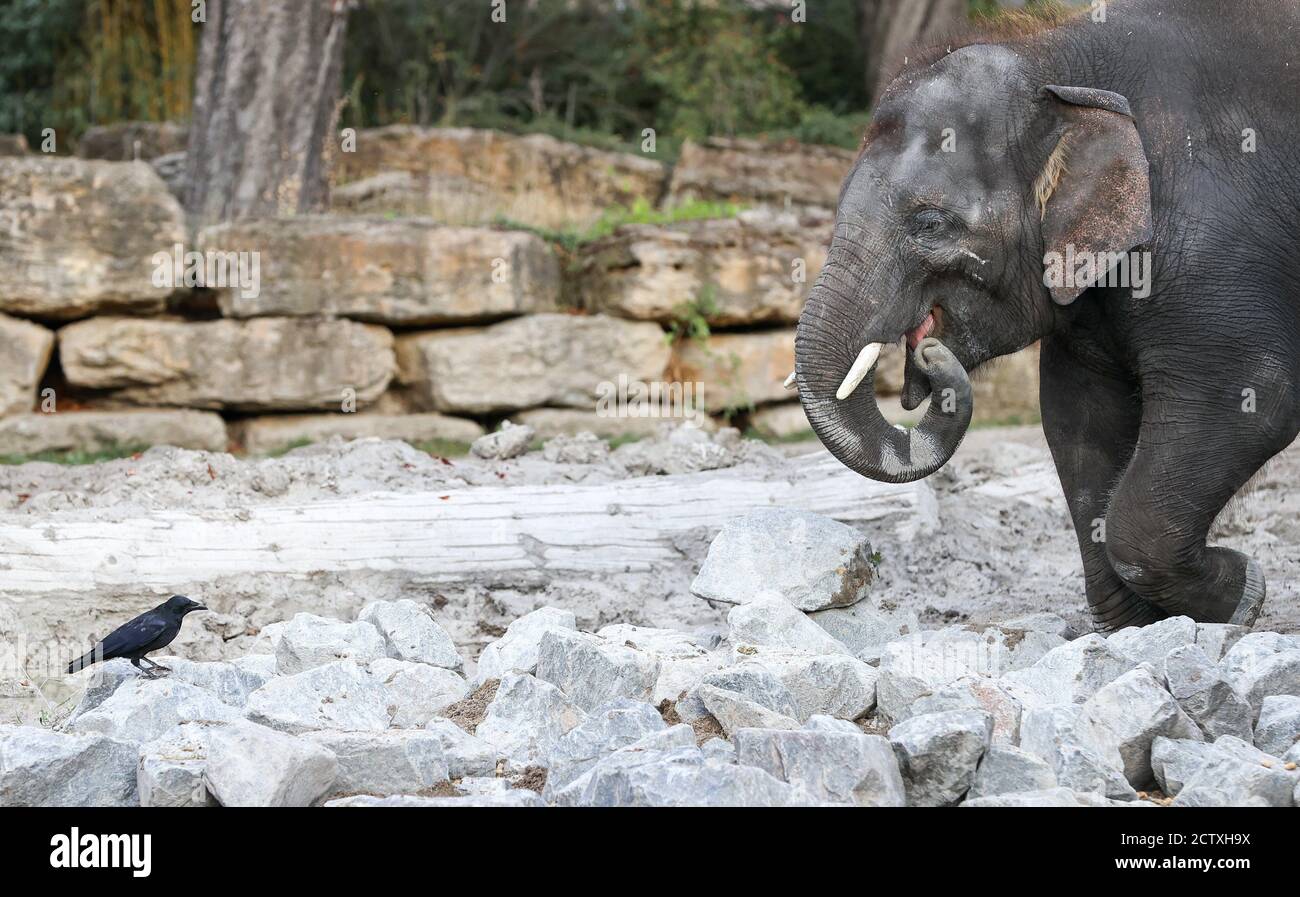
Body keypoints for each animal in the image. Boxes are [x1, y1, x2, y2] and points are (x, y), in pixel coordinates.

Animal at [793, 0, 1300, 632]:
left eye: (930, 224)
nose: (929, 353)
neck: (1059, 62)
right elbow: (1075, 416)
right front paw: (1142, 623)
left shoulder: (1219, 249)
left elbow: (1253, 396)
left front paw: (1246, 591)